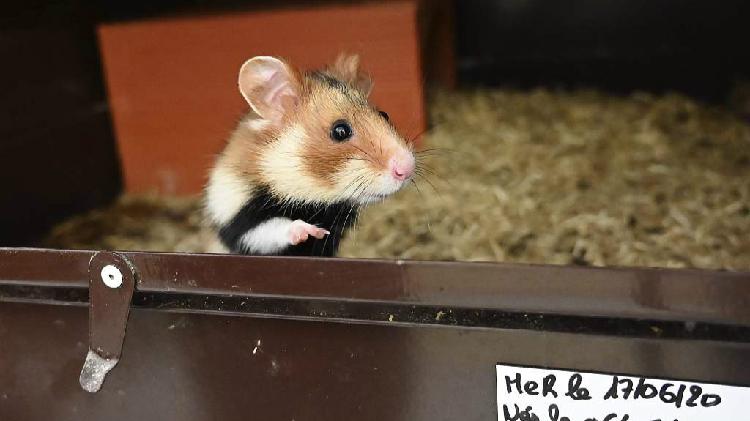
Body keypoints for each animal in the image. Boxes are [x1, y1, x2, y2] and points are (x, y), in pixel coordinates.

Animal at [204, 54, 416, 256]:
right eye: (340, 131)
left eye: (384, 114)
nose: (407, 169)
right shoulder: (241, 221)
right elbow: (274, 228)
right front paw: (314, 231)